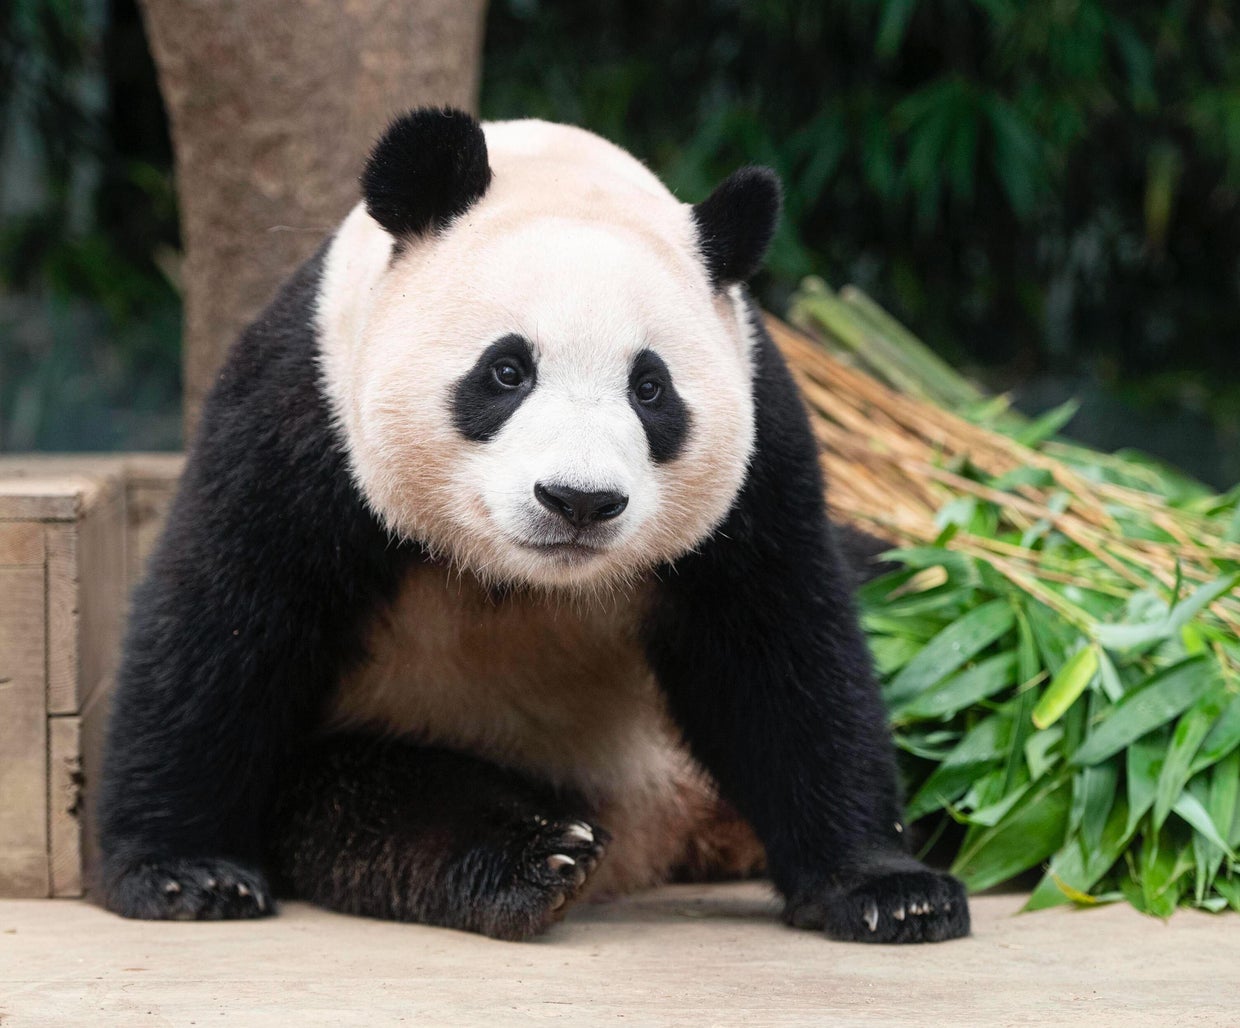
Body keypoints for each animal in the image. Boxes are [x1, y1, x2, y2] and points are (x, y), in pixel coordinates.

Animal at [96, 107, 969, 944]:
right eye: (507, 371)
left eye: (650, 389)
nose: (577, 500)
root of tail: (673, 834)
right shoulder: (304, 415)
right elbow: (225, 626)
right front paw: (182, 873)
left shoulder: (761, 454)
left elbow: (783, 656)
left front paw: (888, 889)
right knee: (387, 805)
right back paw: (538, 860)